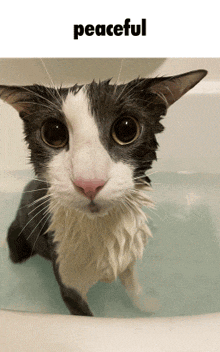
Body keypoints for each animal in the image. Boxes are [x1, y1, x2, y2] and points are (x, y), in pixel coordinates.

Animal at [0, 69, 207, 316]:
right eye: (53, 133)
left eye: (127, 129)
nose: (89, 183)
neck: (102, 229)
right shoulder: (69, 283)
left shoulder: (127, 257)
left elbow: (133, 285)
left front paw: (145, 305)